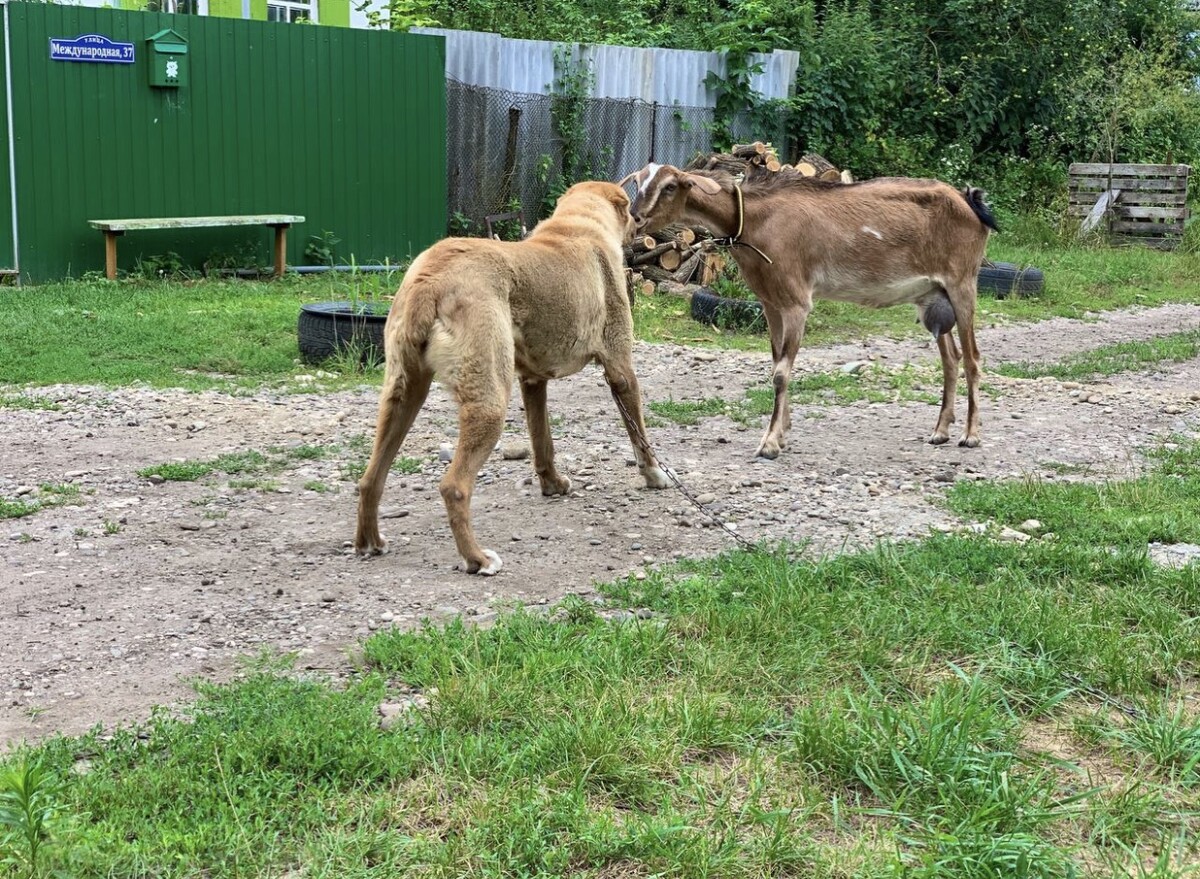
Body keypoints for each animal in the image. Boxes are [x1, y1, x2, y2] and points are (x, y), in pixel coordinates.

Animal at [355, 182, 676, 573]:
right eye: (629, 210)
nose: (640, 225)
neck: (577, 224)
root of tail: (430, 281)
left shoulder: (533, 382)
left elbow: (543, 443)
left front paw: (552, 485)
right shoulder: (620, 369)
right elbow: (640, 436)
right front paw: (655, 475)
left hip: (402, 395)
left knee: (370, 478)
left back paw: (370, 542)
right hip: (489, 403)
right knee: (453, 486)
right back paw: (477, 558)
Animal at [624, 160, 998, 456]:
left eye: (670, 186)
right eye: (639, 180)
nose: (635, 217)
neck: (756, 219)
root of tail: (968, 201)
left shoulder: (796, 302)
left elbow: (781, 372)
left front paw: (769, 443)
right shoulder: (770, 303)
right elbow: (777, 364)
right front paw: (782, 434)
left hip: (963, 284)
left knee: (973, 358)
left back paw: (970, 435)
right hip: (932, 296)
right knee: (951, 359)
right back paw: (940, 431)